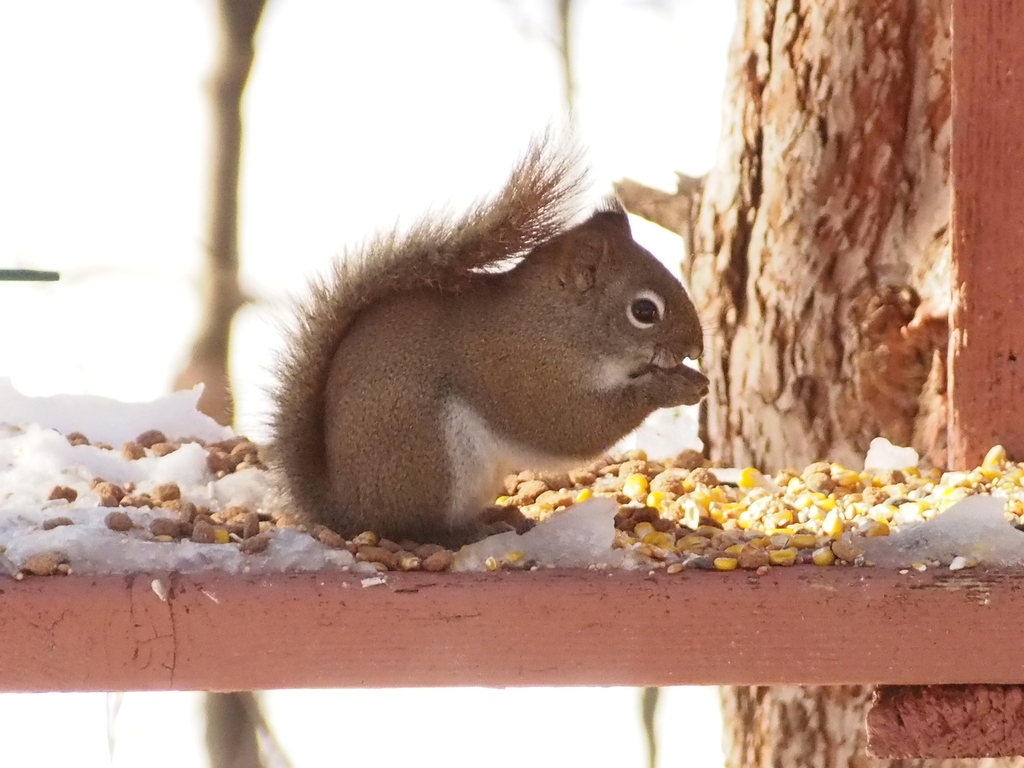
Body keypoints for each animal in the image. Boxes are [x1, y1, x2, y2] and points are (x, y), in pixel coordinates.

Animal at [268, 137, 709, 548]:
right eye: (645, 311)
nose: (698, 349)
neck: (558, 324)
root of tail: (343, 510)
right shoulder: (525, 374)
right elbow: (574, 427)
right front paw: (671, 386)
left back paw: (503, 517)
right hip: (426, 453)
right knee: (413, 529)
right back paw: (463, 533)